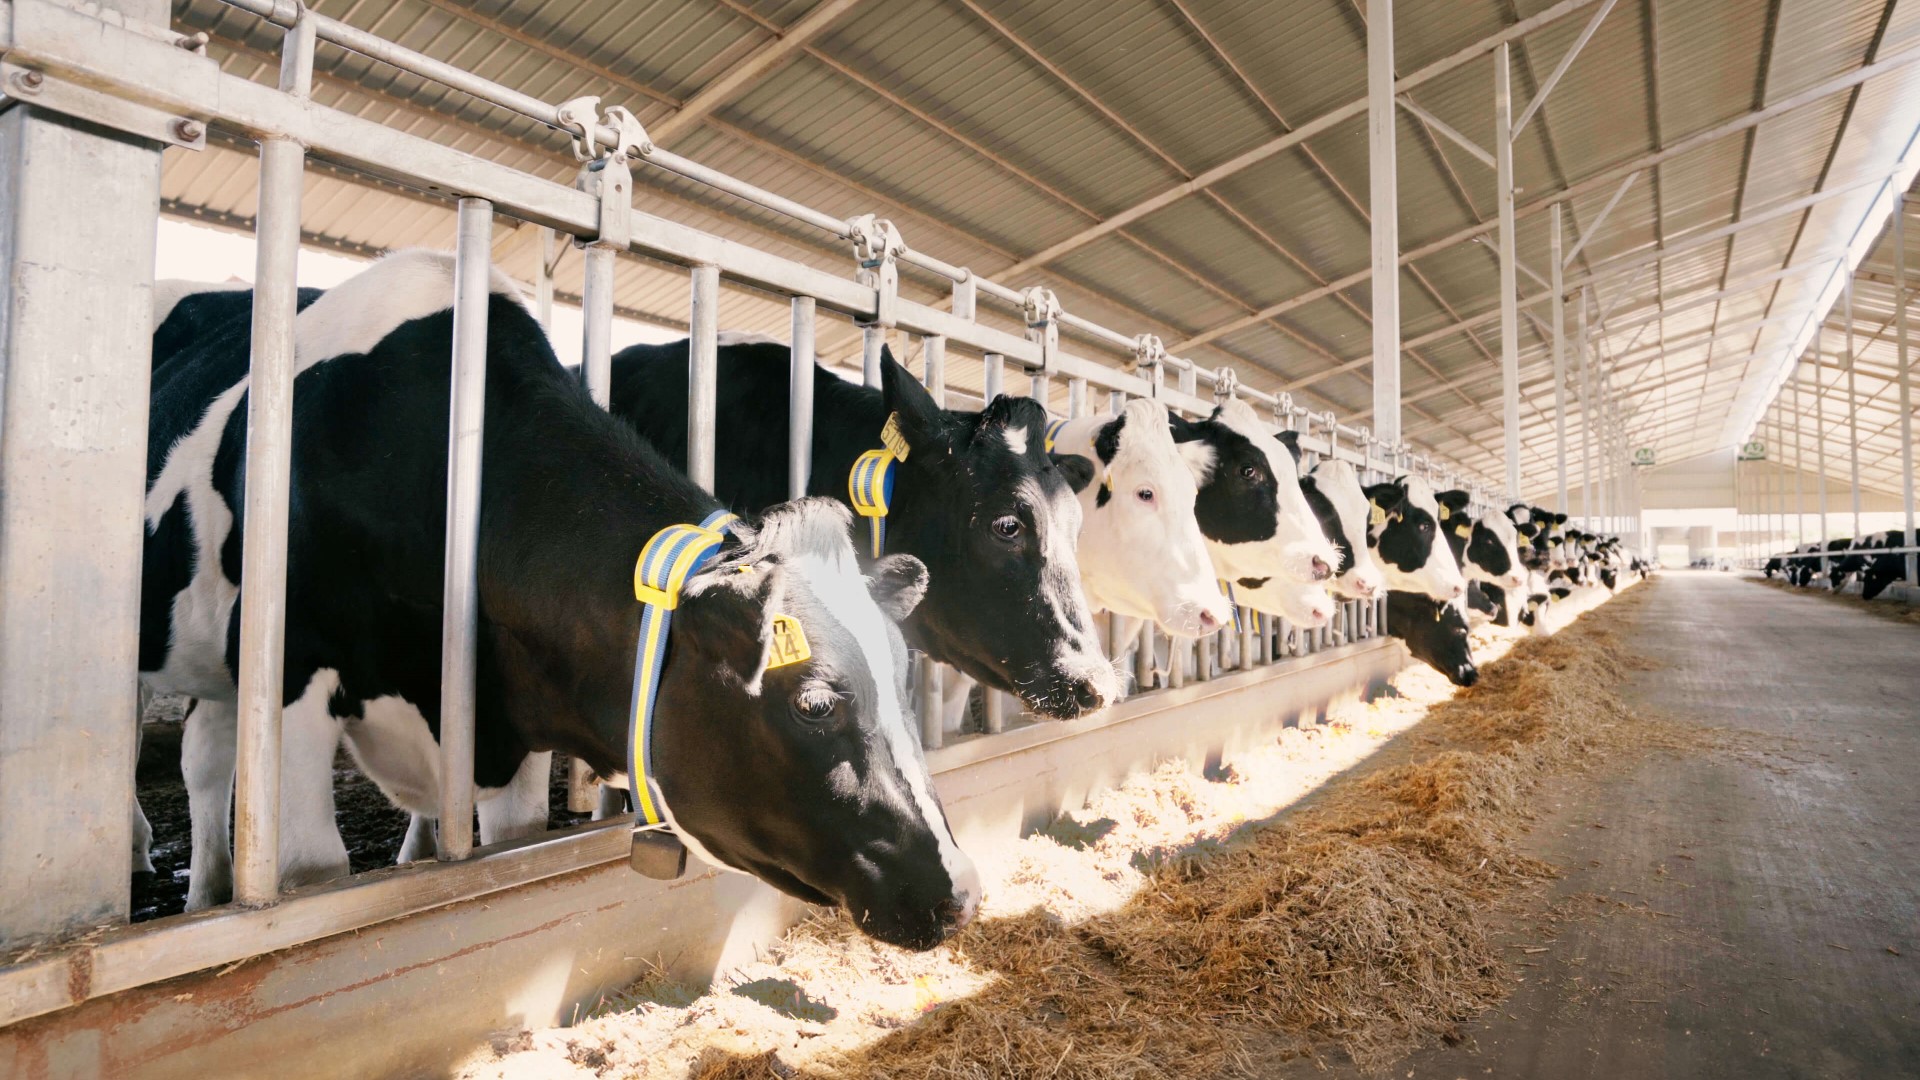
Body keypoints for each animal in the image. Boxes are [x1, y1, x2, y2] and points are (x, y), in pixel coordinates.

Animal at [142, 252, 978, 950]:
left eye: (902, 677)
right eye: (813, 703)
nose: (962, 891)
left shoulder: (504, 723)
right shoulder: (290, 677)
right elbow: (313, 872)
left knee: (204, 752)